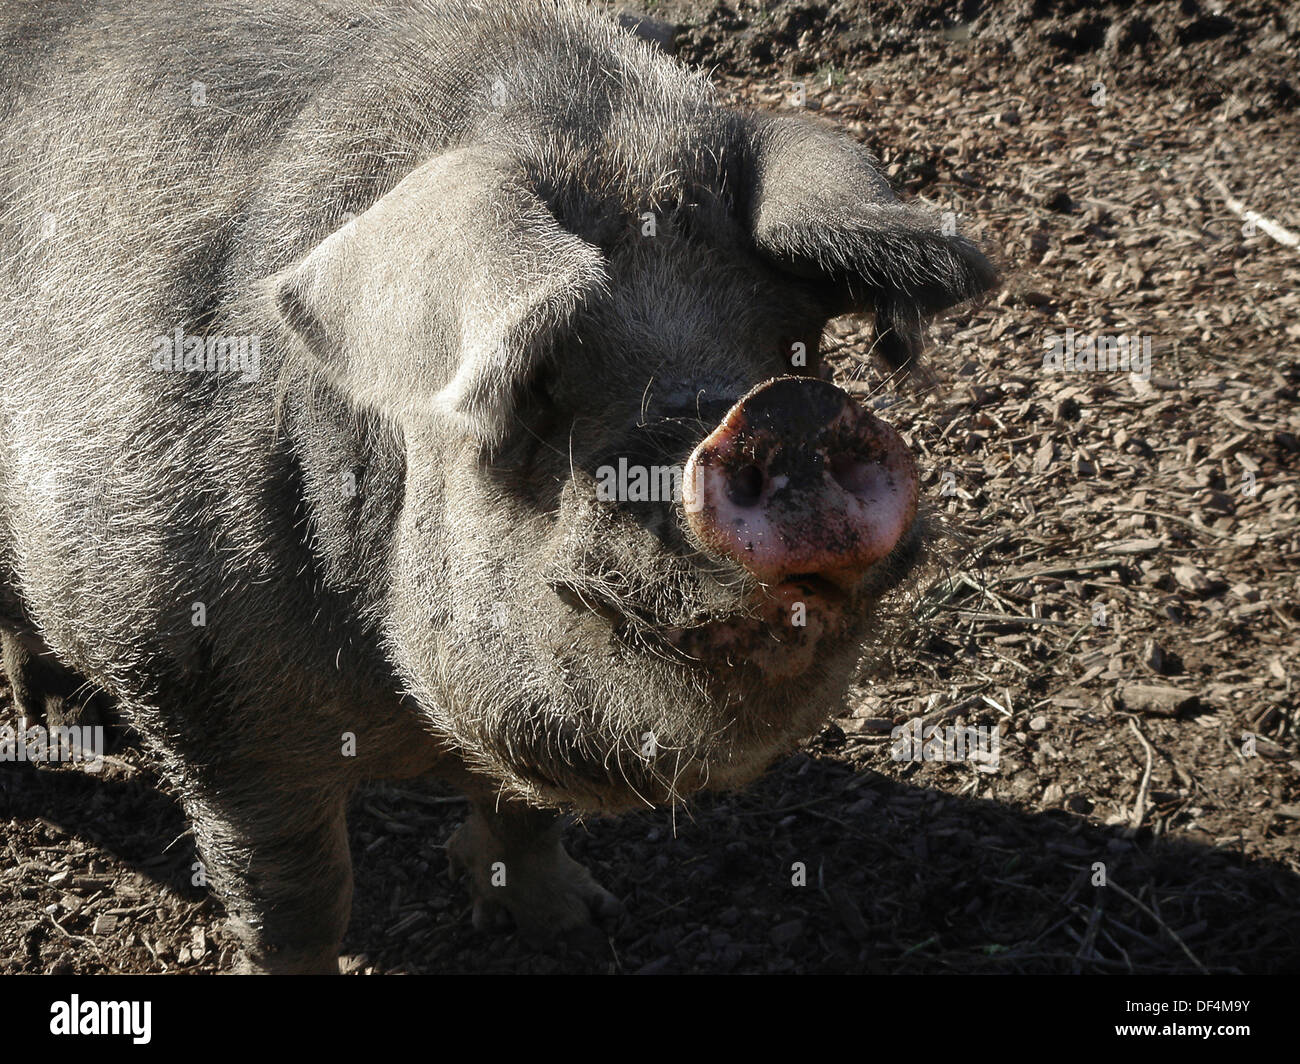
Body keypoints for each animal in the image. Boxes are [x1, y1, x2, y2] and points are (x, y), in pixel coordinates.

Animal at [0, 0, 996, 972]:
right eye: (537, 384)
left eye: (794, 343)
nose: (785, 409)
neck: (393, 693)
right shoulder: (196, 693)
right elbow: (295, 906)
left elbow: (523, 811)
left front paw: (580, 928)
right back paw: (65, 725)